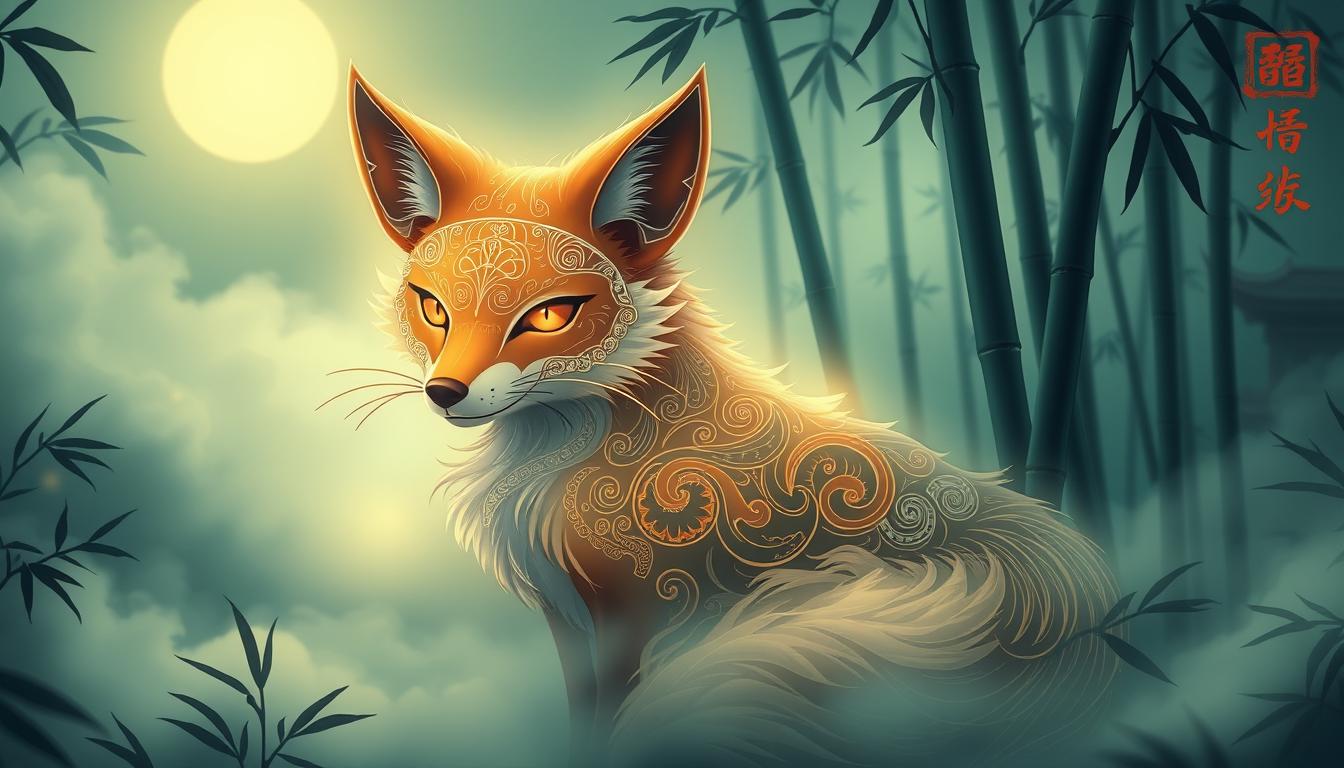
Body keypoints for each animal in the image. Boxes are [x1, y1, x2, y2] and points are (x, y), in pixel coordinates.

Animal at [345, 64, 1117, 766]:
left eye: (549, 316)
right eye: (432, 307)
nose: (445, 392)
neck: (555, 464)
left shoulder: (637, 615)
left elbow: (607, 730)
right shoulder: (569, 618)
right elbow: (581, 727)